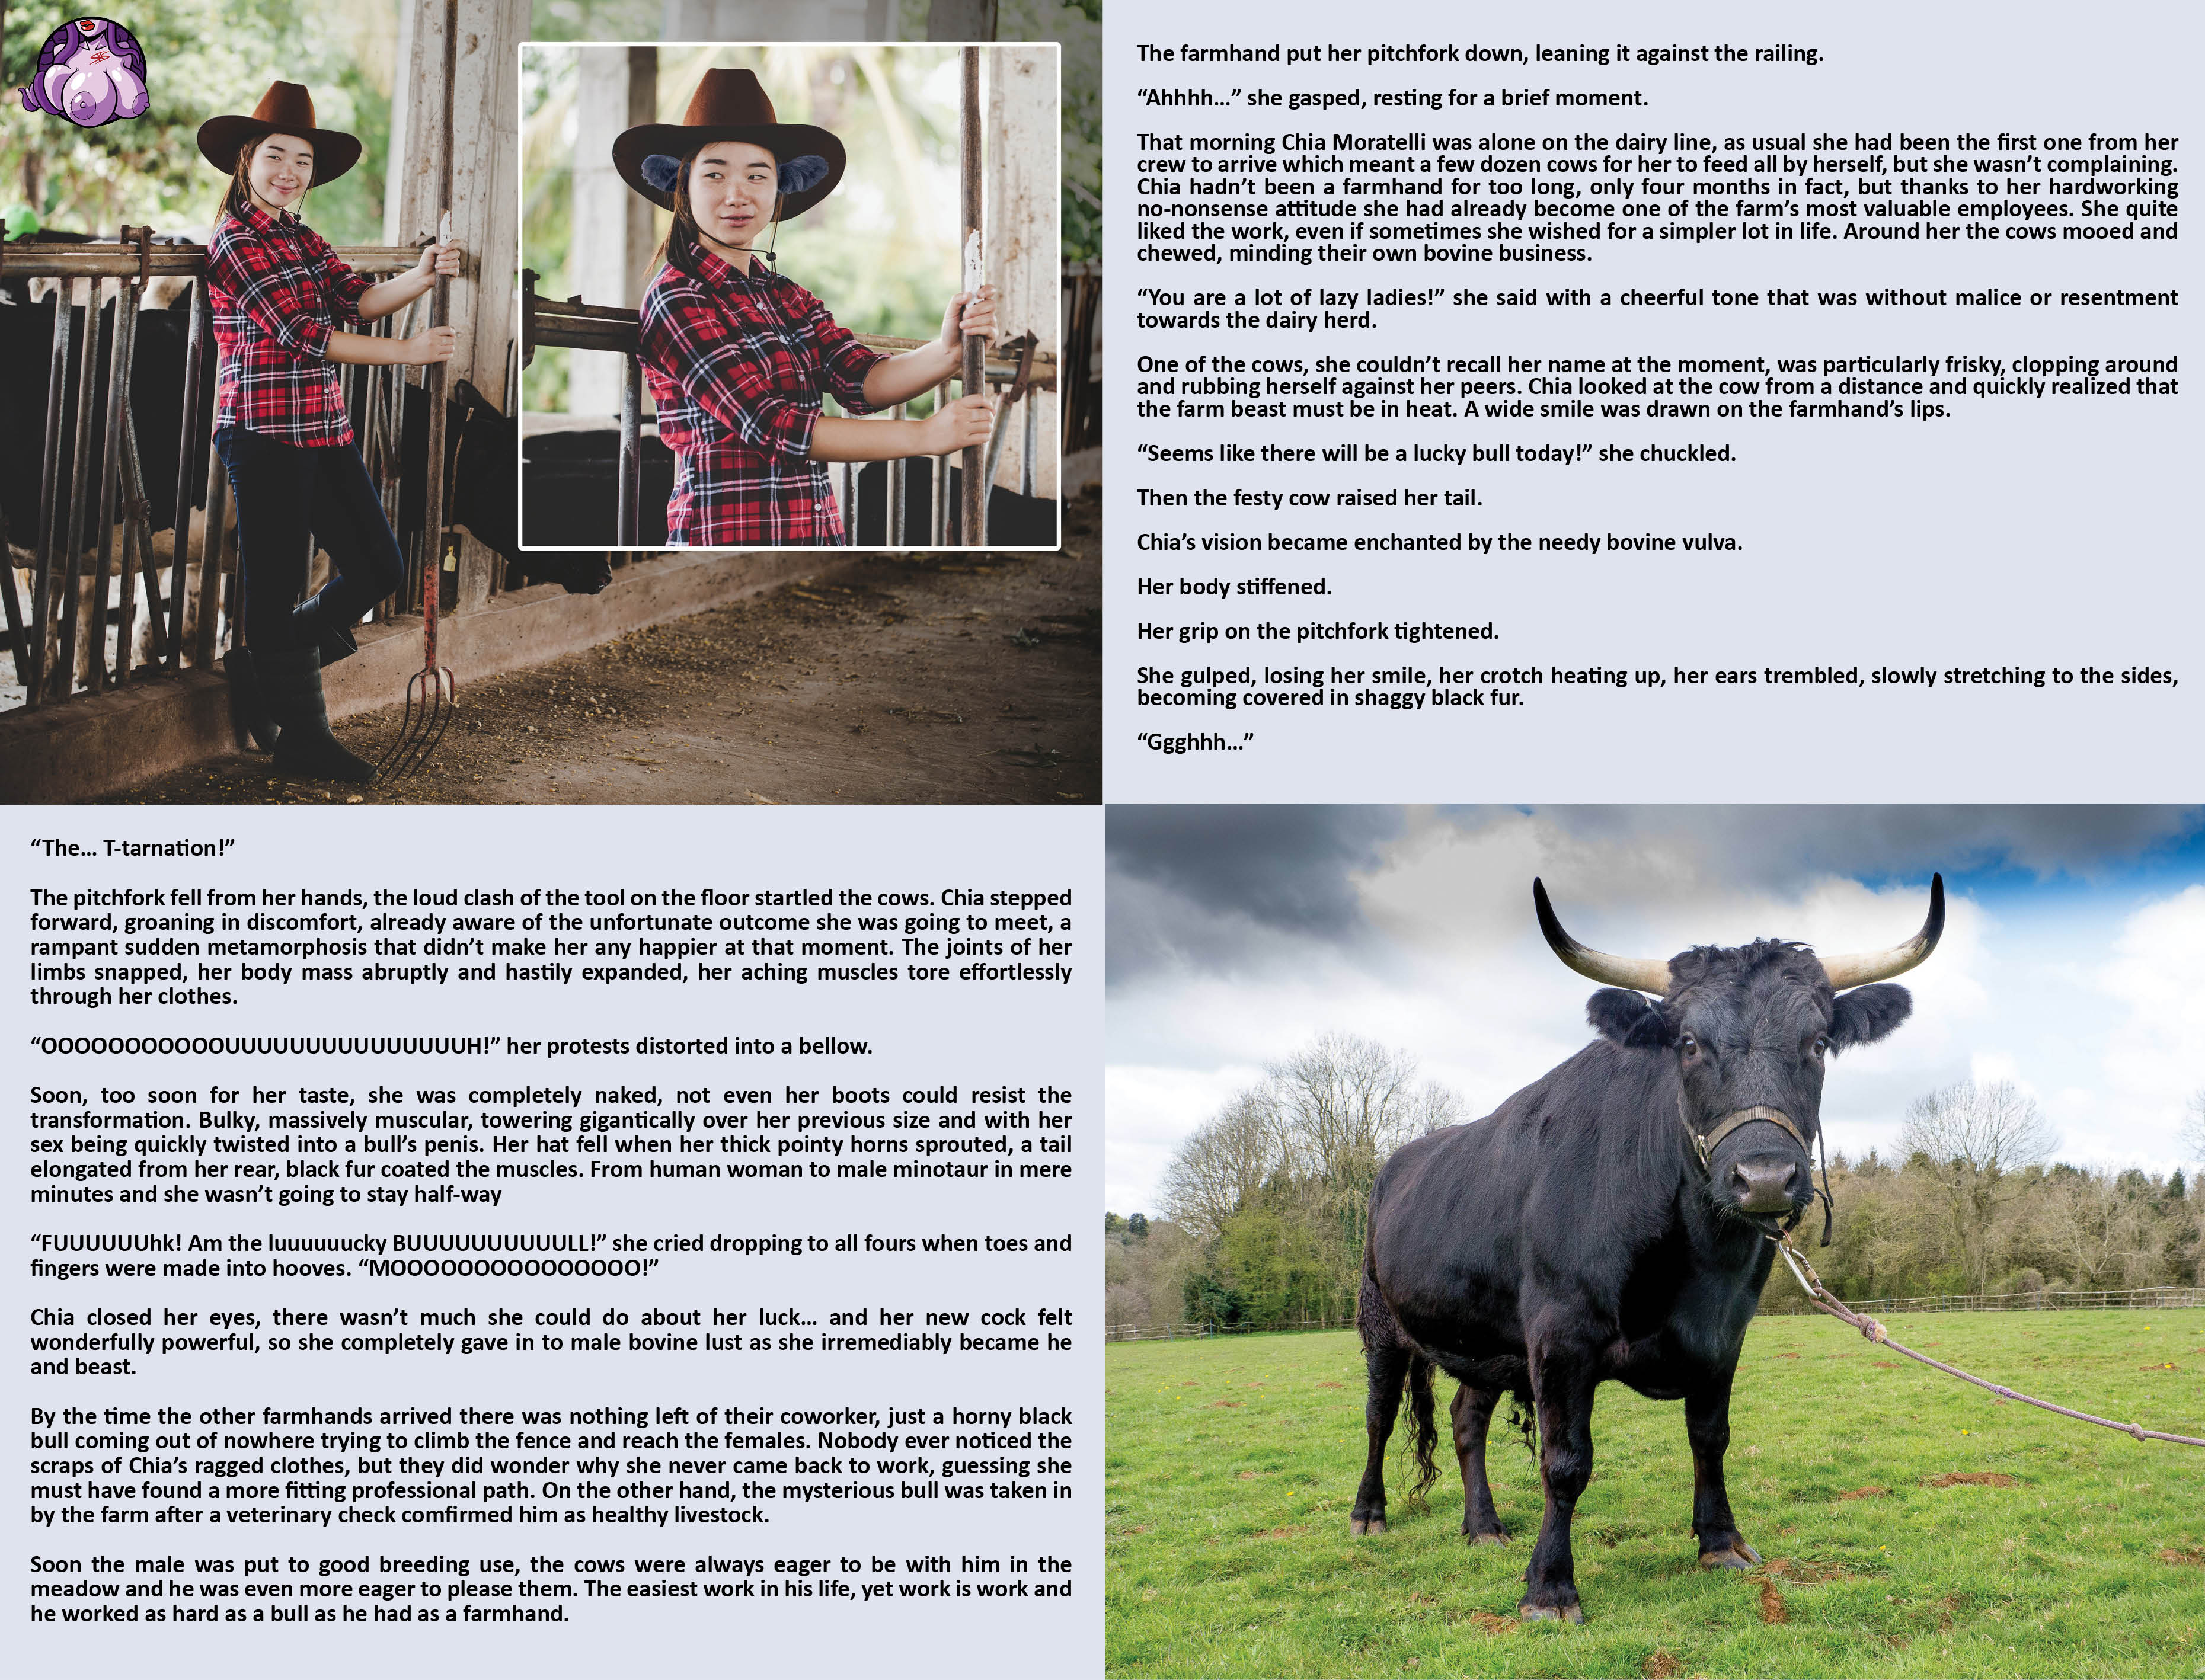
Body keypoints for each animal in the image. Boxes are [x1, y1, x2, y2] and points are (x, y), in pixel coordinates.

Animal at [1352, 875, 1943, 1623]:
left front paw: (1719, 1541)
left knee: (1466, 1420)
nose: (1765, 1178)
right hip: (1381, 1324)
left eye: (1817, 1043)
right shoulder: (1560, 1334)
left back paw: (1483, 1526)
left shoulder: (1725, 1335)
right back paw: (1369, 1513)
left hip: (1483, 1340)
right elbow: (1565, 1462)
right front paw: (1549, 1587)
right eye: (1688, 1043)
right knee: (1378, 1416)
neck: (1695, 1266)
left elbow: (1710, 1438)